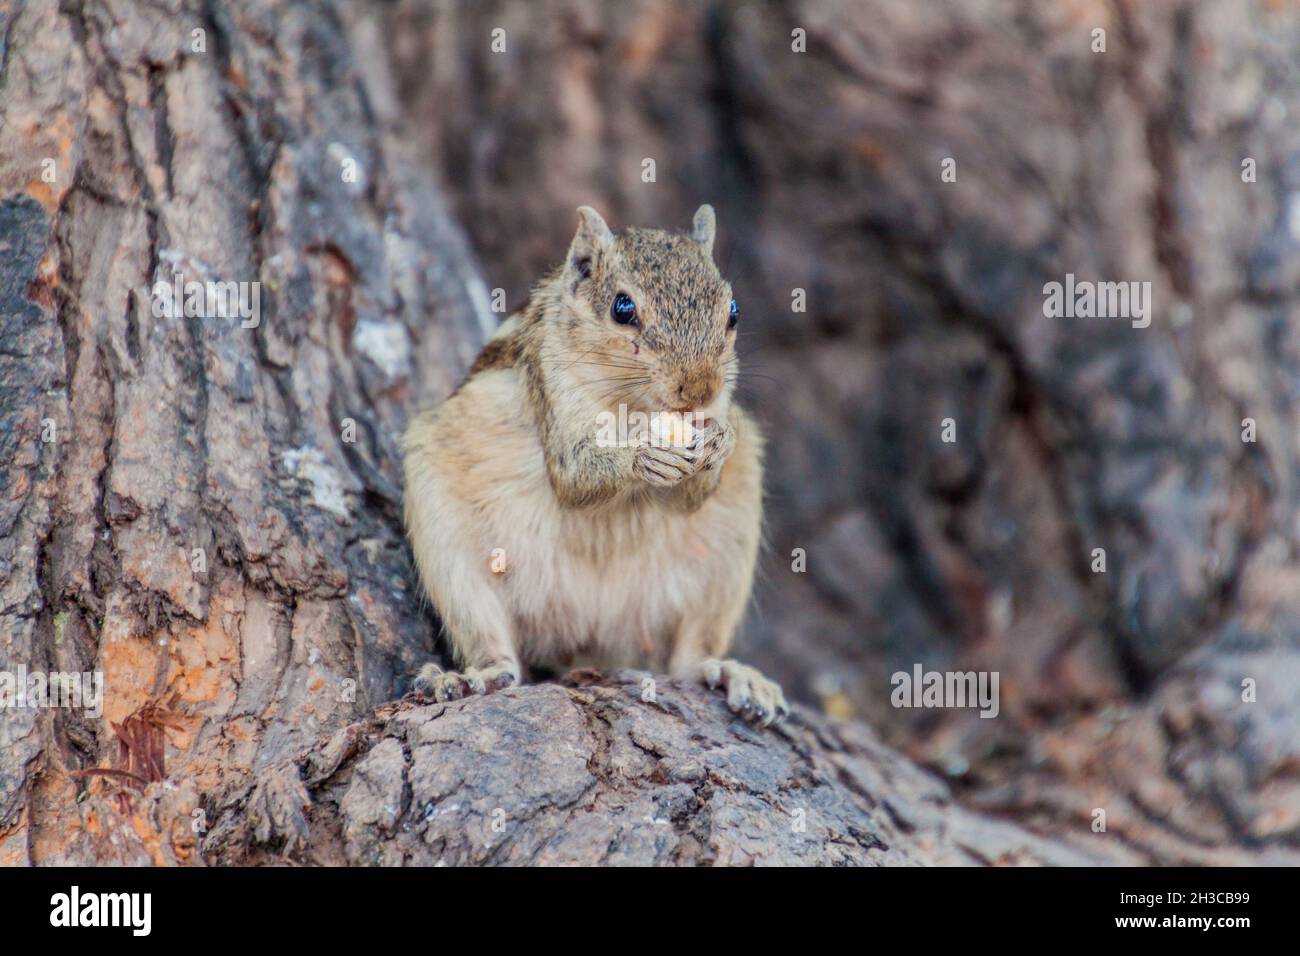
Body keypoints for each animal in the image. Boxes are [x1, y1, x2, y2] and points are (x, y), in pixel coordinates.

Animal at [401, 204, 787, 725]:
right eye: (622, 309)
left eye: (733, 312)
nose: (699, 389)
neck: (633, 406)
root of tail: (585, 640)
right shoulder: (551, 385)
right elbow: (573, 476)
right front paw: (645, 454)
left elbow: (694, 497)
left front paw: (718, 442)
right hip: (448, 541)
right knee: (494, 648)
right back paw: (473, 678)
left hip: (726, 550)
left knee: (688, 658)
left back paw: (731, 673)